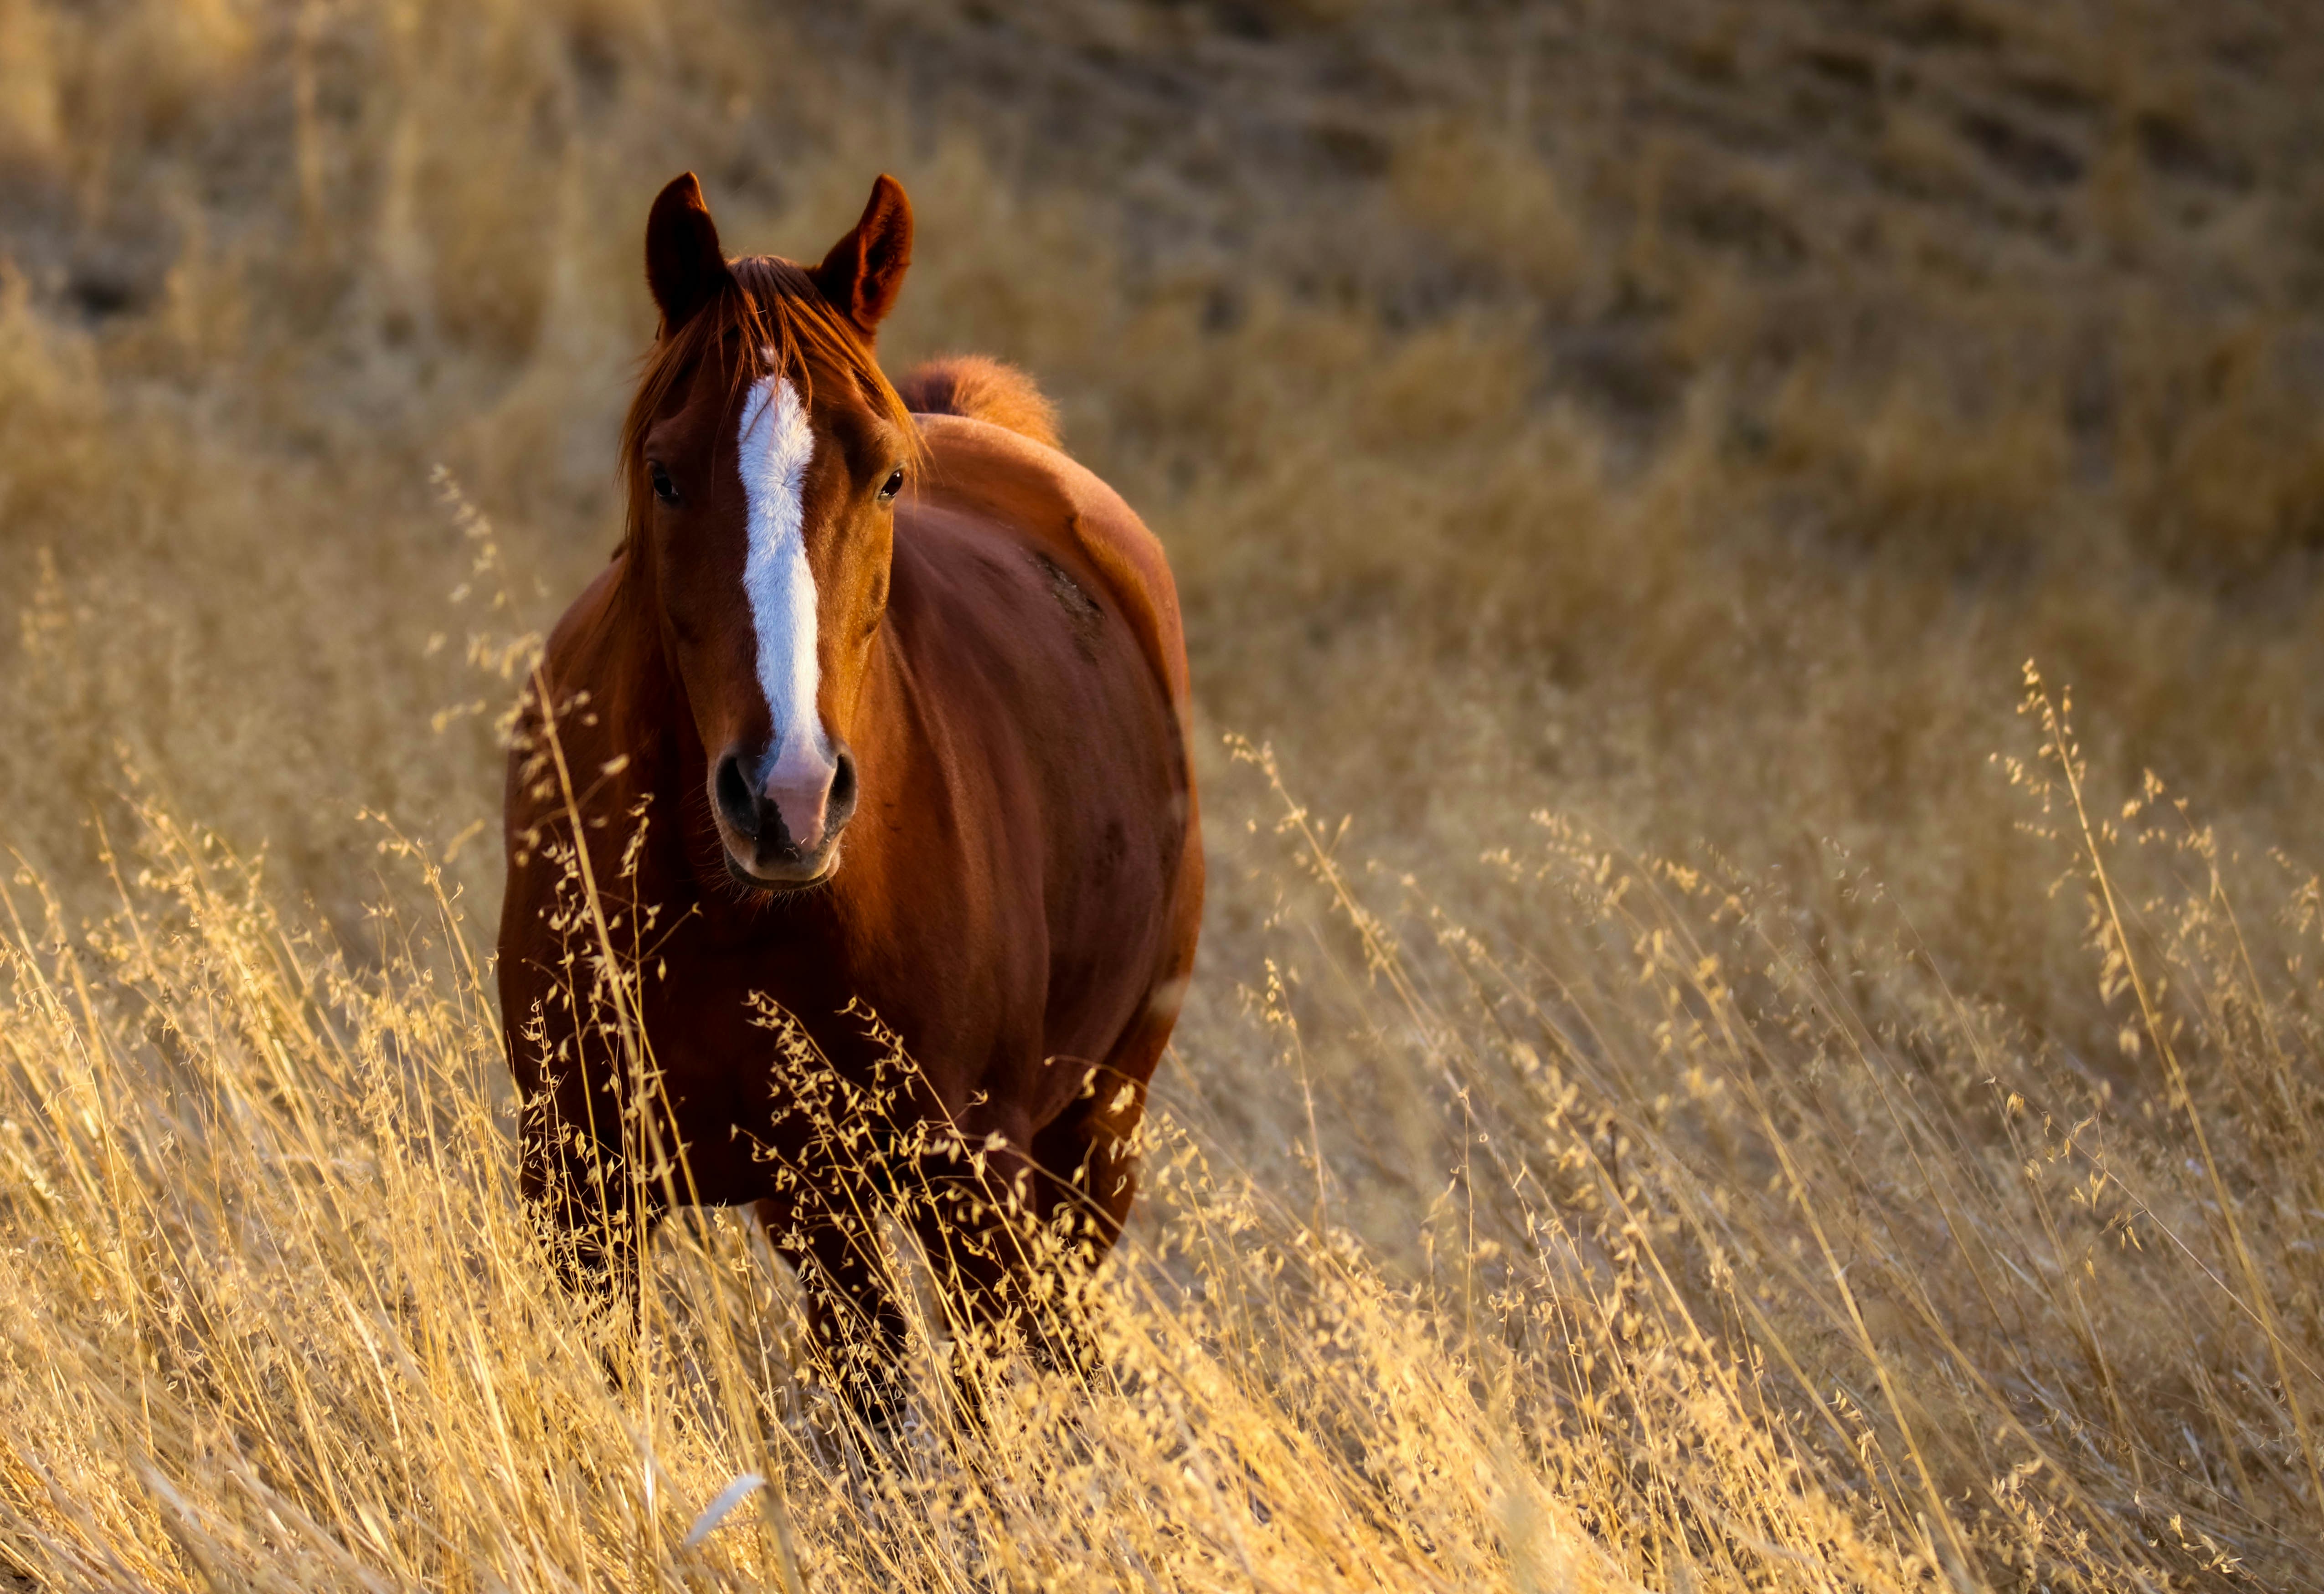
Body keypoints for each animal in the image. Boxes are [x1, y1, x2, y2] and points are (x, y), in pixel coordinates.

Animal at [495, 171, 1203, 1414]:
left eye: (886, 477)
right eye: (664, 473)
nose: (788, 796)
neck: (724, 906)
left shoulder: (968, 1186)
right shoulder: (581, 1187)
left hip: (1089, 1140)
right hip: (821, 1200)